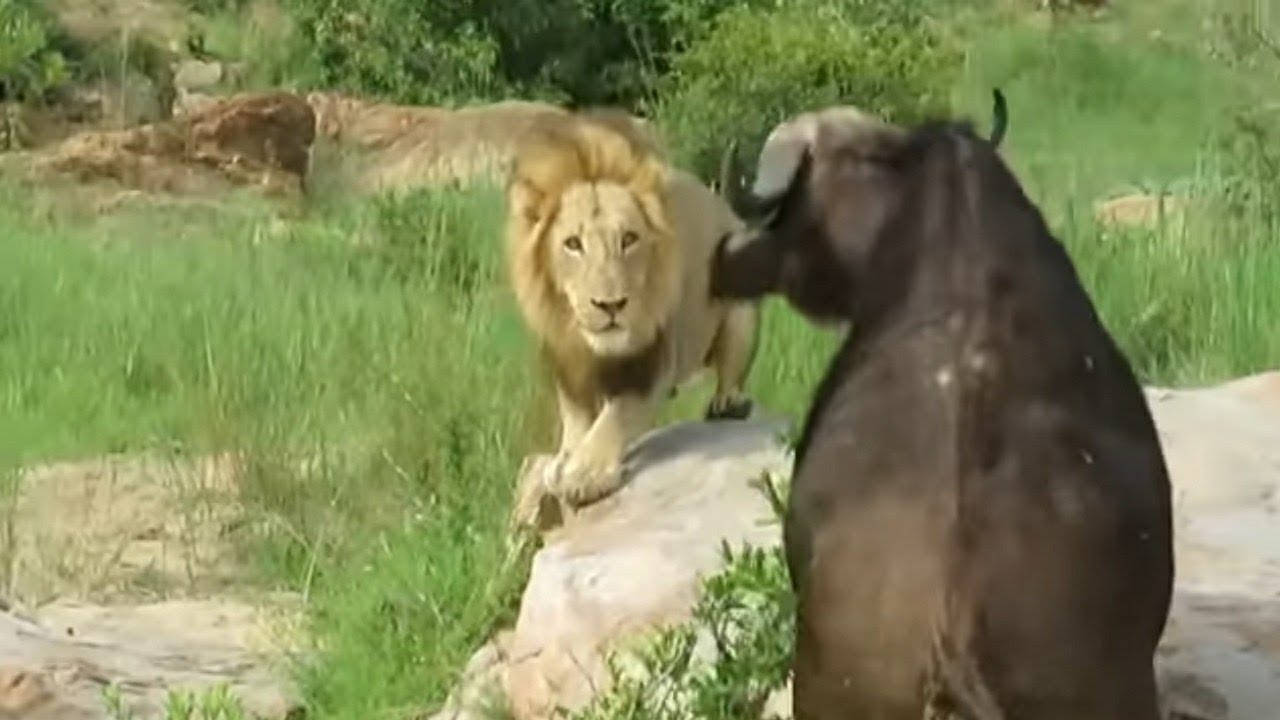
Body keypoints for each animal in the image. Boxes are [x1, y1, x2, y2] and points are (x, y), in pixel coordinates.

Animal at [505, 109, 761, 528]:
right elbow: (575, 416)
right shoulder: (564, 363)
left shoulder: (650, 365)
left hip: (742, 315)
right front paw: (565, 458)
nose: (611, 305)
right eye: (573, 244)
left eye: (629, 239)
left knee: (732, 374)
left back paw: (727, 403)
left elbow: (616, 418)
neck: (592, 347)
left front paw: (585, 474)